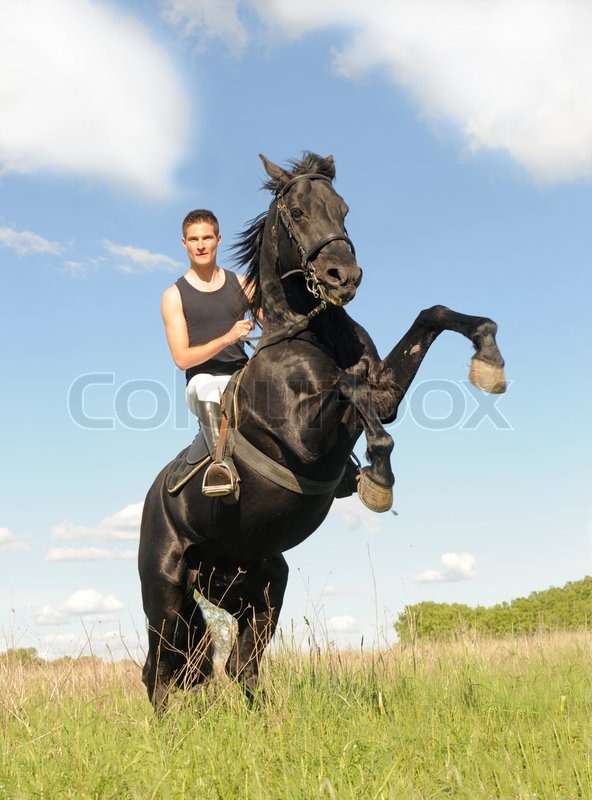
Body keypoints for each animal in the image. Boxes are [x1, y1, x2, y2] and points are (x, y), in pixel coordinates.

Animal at [138, 152, 506, 713]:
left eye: (343, 208)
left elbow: (430, 318)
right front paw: (379, 479)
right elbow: (350, 390)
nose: (344, 277)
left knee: (236, 666)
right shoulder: (304, 434)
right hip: (166, 592)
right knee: (161, 673)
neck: (306, 330)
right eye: (295, 211)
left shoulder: (384, 395)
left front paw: (489, 360)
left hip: (259, 584)